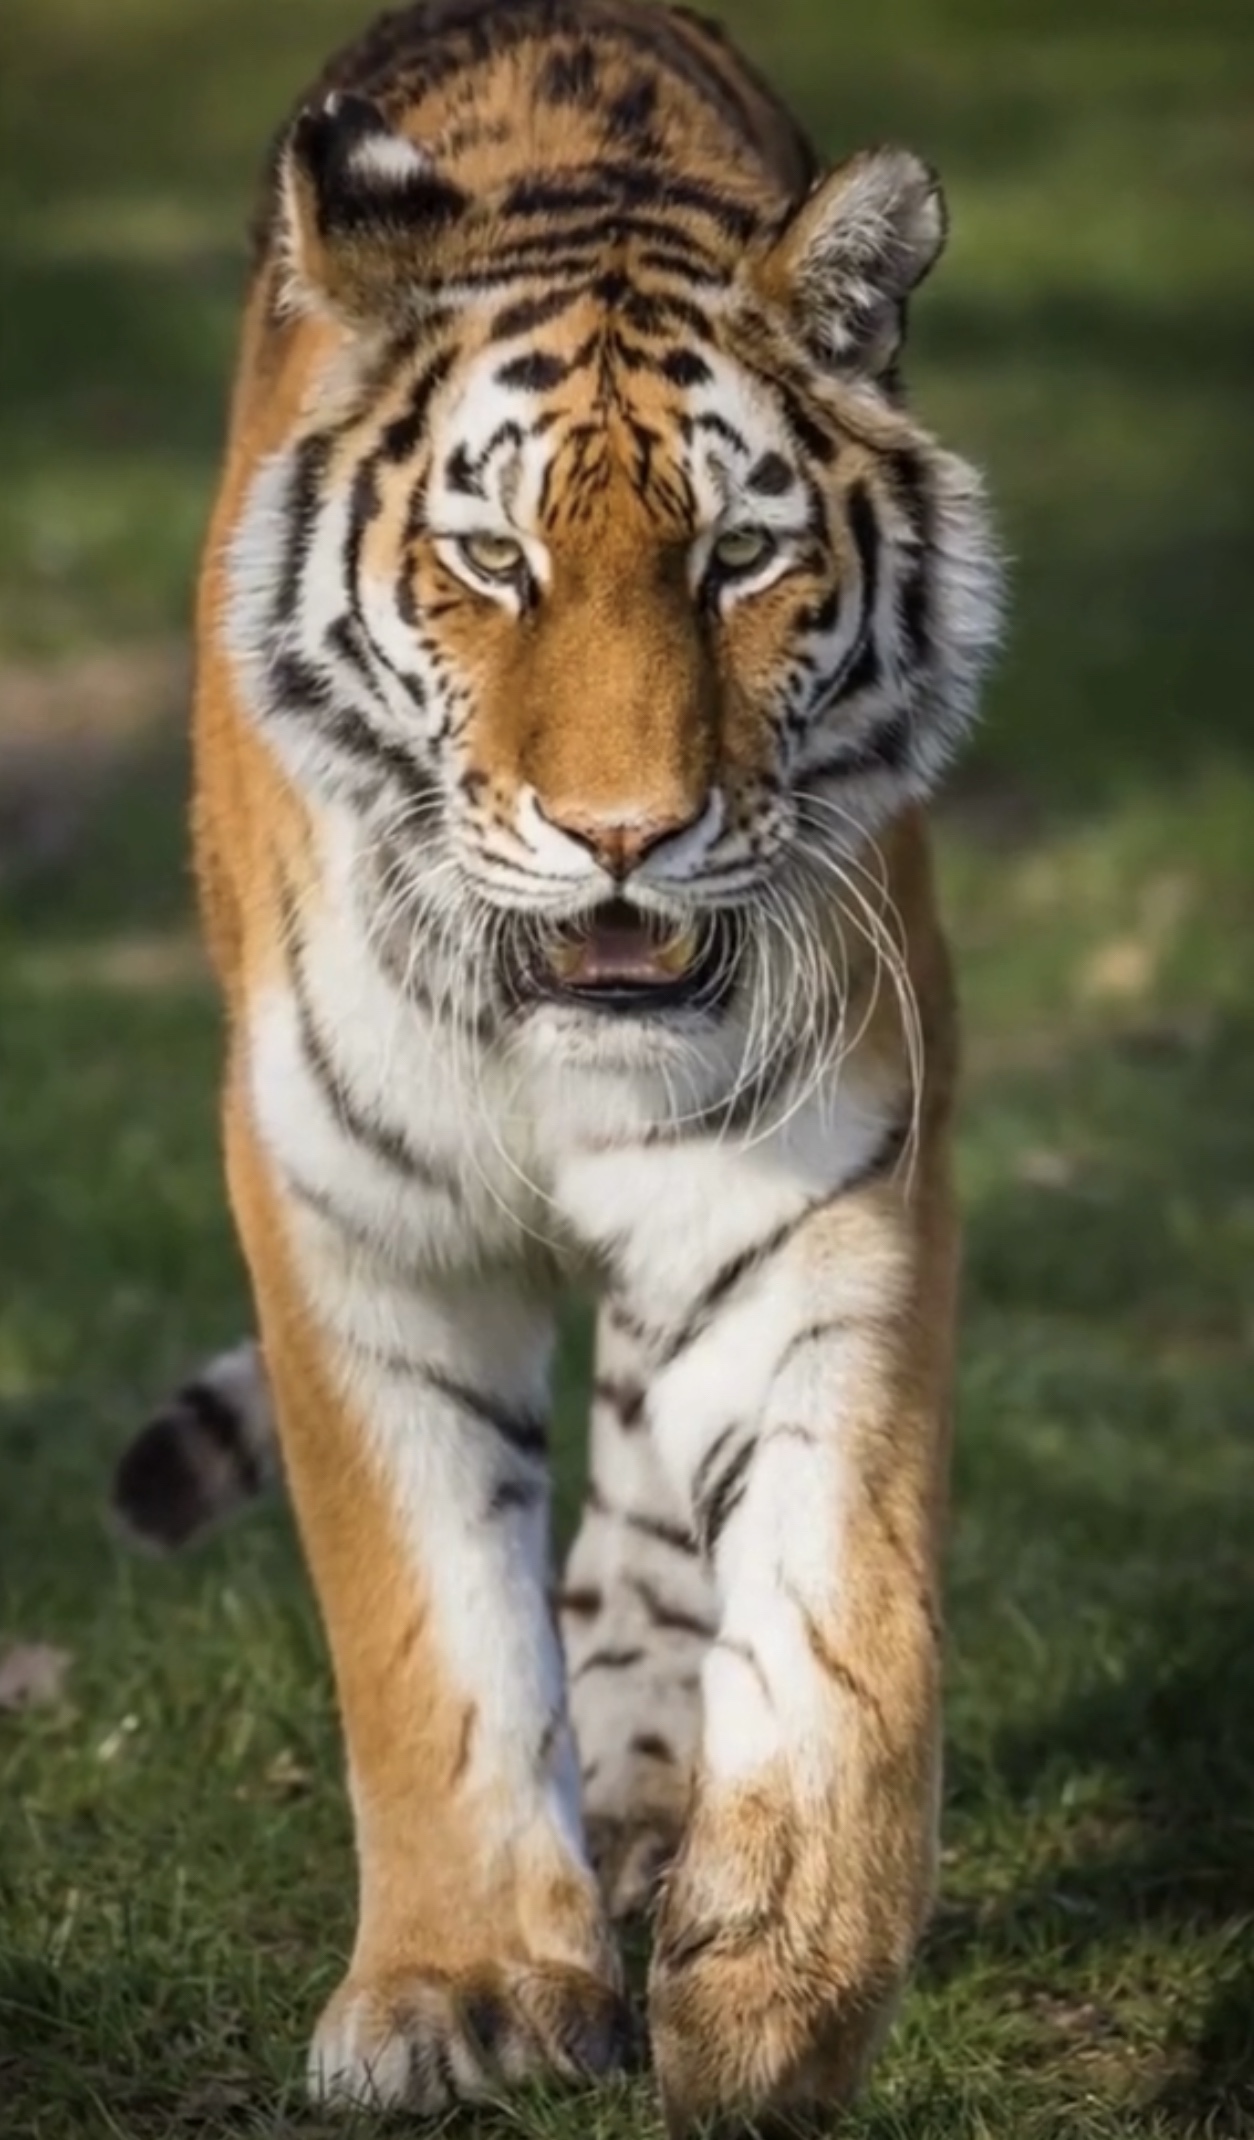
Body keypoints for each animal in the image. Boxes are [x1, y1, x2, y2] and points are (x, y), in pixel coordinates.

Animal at [109, 0, 1002, 2125]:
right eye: (491, 561)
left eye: (737, 557)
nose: (621, 833)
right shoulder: (349, 1214)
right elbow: (422, 1621)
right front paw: (458, 1992)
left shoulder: (825, 1176)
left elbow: (836, 1601)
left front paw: (776, 1974)